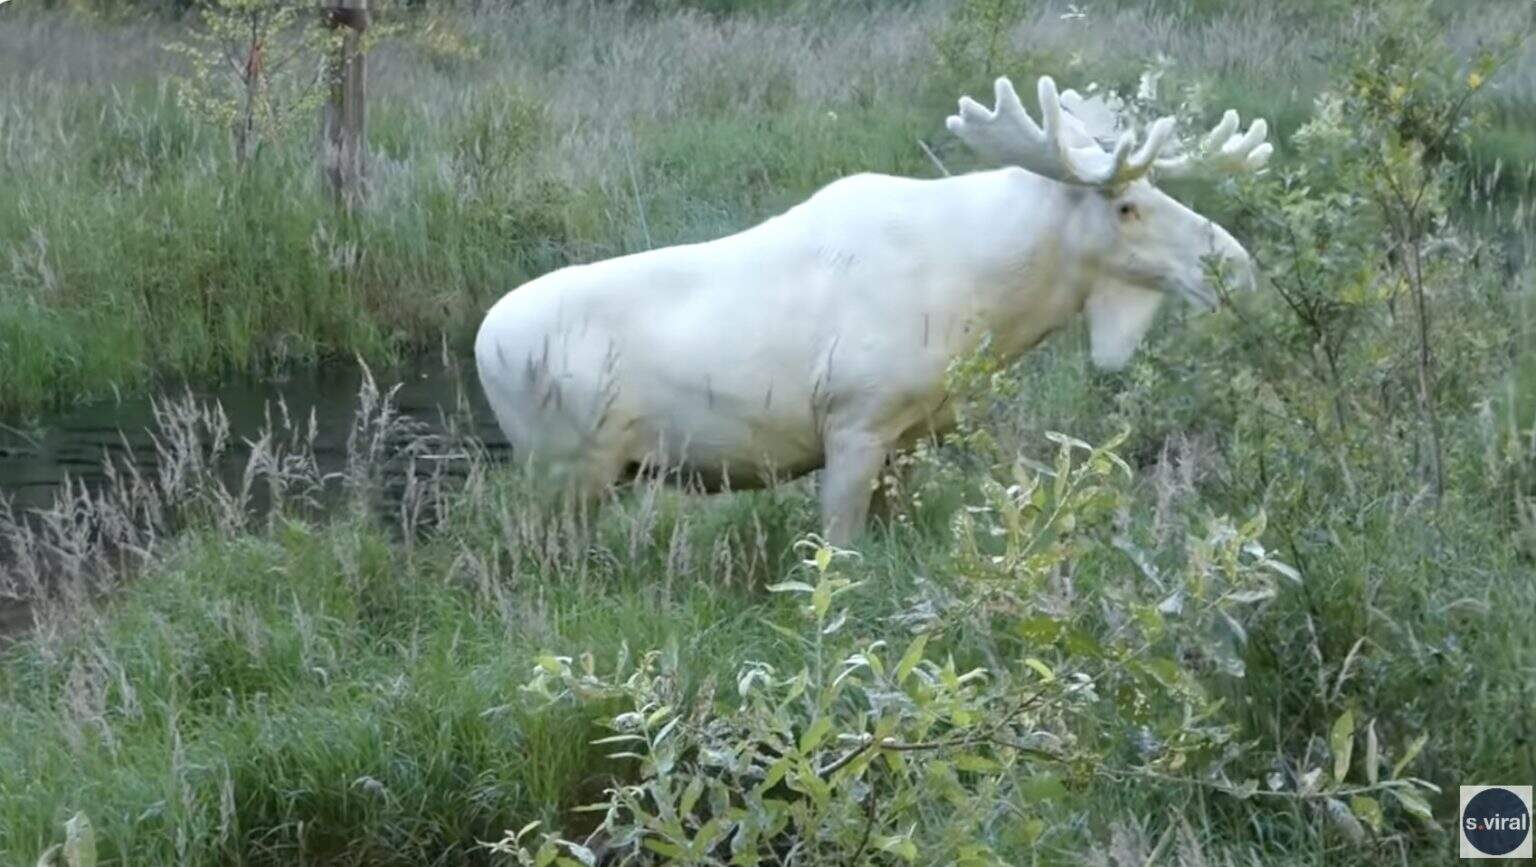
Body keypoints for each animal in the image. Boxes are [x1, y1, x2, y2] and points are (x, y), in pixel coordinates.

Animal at [474, 76, 1272, 545]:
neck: (990, 303)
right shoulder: (854, 421)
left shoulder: (911, 434)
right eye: (1127, 205)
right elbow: (841, 549)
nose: (1235, 263)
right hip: (564, 466)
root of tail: (482, 344)